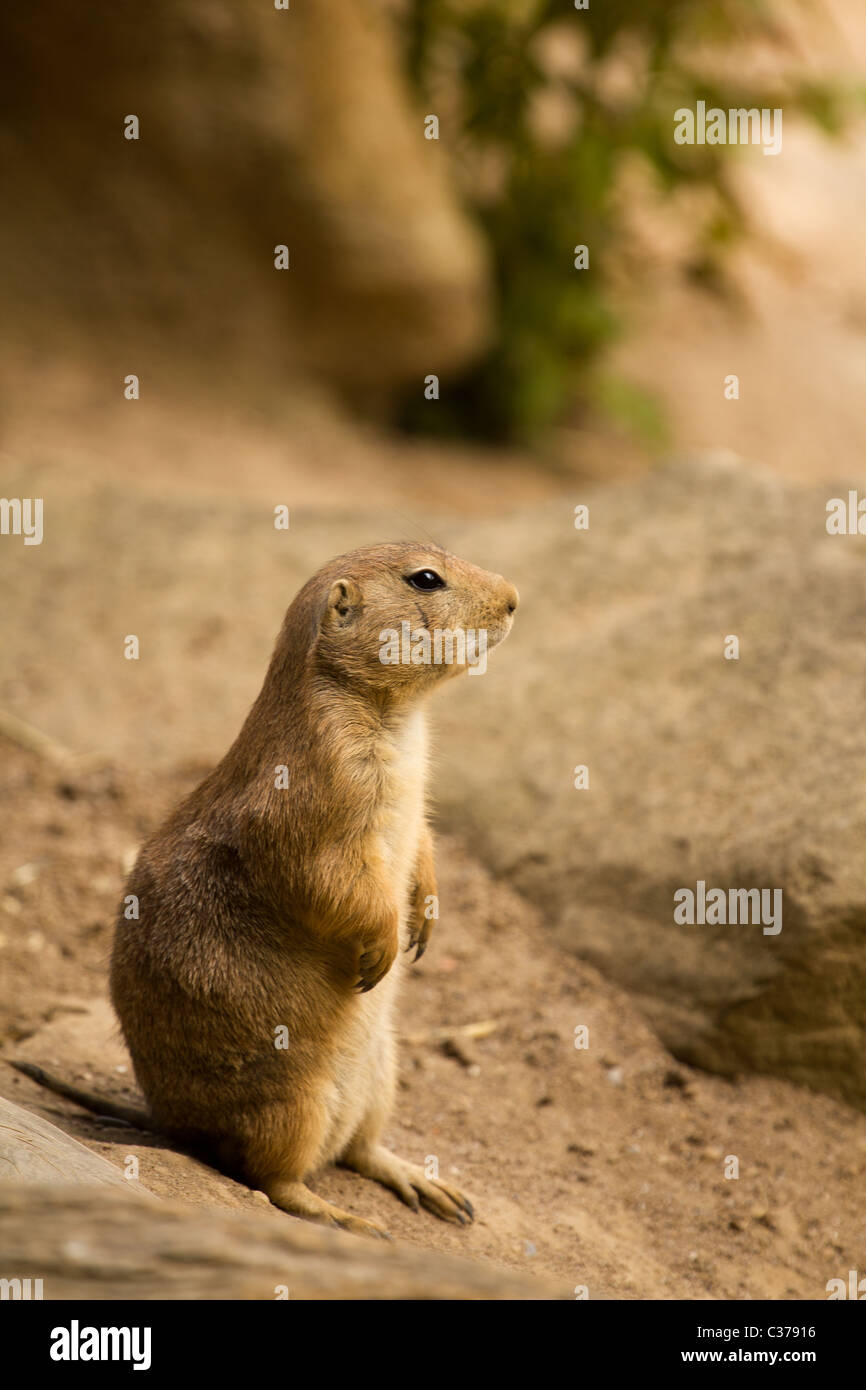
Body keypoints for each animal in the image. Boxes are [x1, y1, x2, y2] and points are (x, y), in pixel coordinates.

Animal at [14, 543, 518, 1238]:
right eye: (425, 579)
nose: (516, 598)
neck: (392, 715)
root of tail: (174, 1123)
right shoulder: (321, 787)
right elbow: (330, 880)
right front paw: (385, 949)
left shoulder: (417, 803)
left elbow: (424, 845)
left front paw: (426, 921)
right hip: (291, 1100)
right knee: (275, 1180)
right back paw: (346, 1218)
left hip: (382, 1076)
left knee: (360, 1151)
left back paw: (429, 1185)